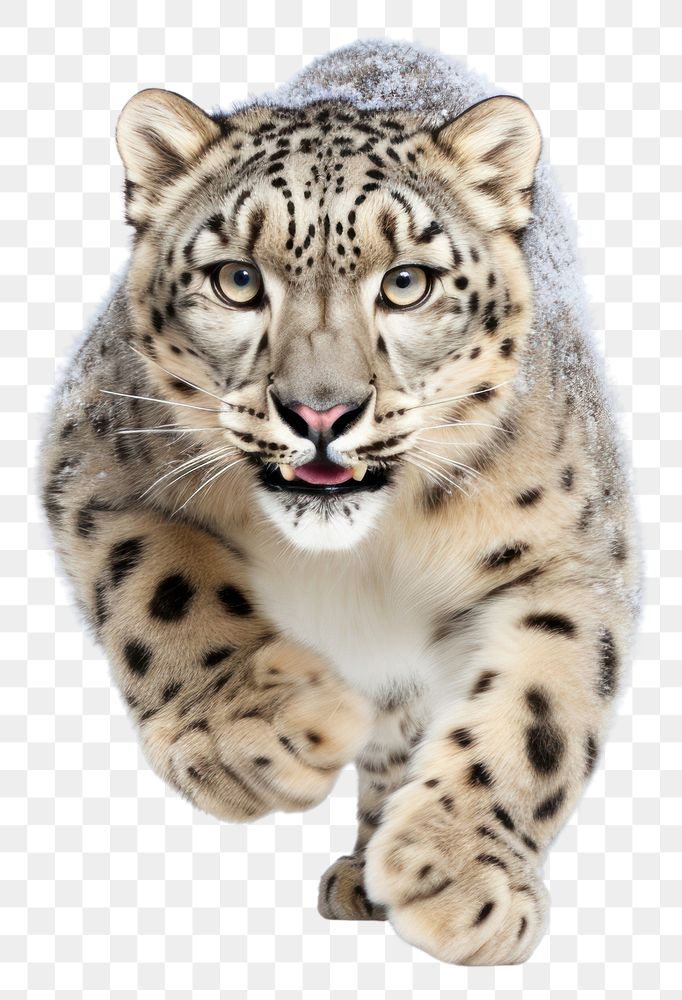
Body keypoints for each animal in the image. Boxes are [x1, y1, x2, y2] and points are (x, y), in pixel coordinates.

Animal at [40, 40, 640, 965]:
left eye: (406, 283)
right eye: (237, 279)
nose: (320, 412)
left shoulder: (572, 555)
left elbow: (543, 702)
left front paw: (458, 874)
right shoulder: (96, 467)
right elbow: (162, 590)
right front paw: (255, 737)